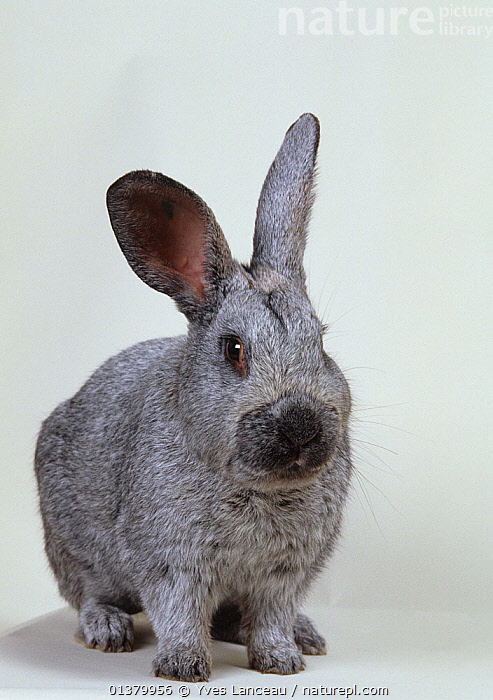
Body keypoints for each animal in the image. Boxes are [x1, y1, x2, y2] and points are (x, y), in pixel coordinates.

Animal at [34, 113, 353, 682]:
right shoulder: (172, 563)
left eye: (320, 342)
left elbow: (271, 617)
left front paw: (282, 662)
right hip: (73, 550)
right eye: (233, 350)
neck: (258, 489)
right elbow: (178, 612)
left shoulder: (284, 575)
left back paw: (306, 635)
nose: (301, 426)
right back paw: (108, 630)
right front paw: (183, 668)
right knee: (88, 594)